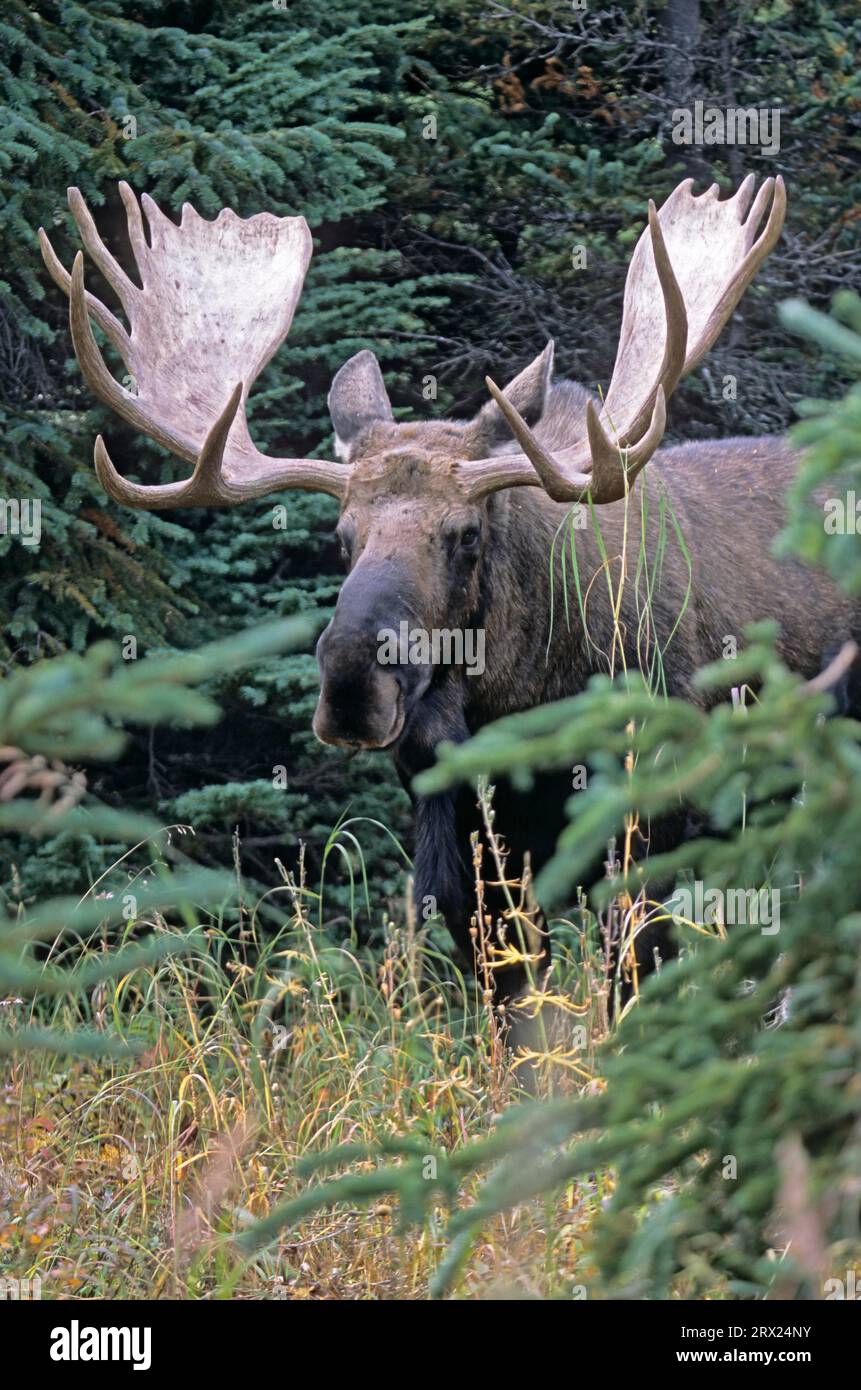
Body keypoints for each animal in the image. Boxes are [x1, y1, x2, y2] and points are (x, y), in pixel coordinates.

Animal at [39, 175, 861, 1045]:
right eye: (341, 535)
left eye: (465, 534)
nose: (352, 683)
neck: (523, 709)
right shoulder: (465, 855)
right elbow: (519, 1034)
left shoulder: (654, 831)